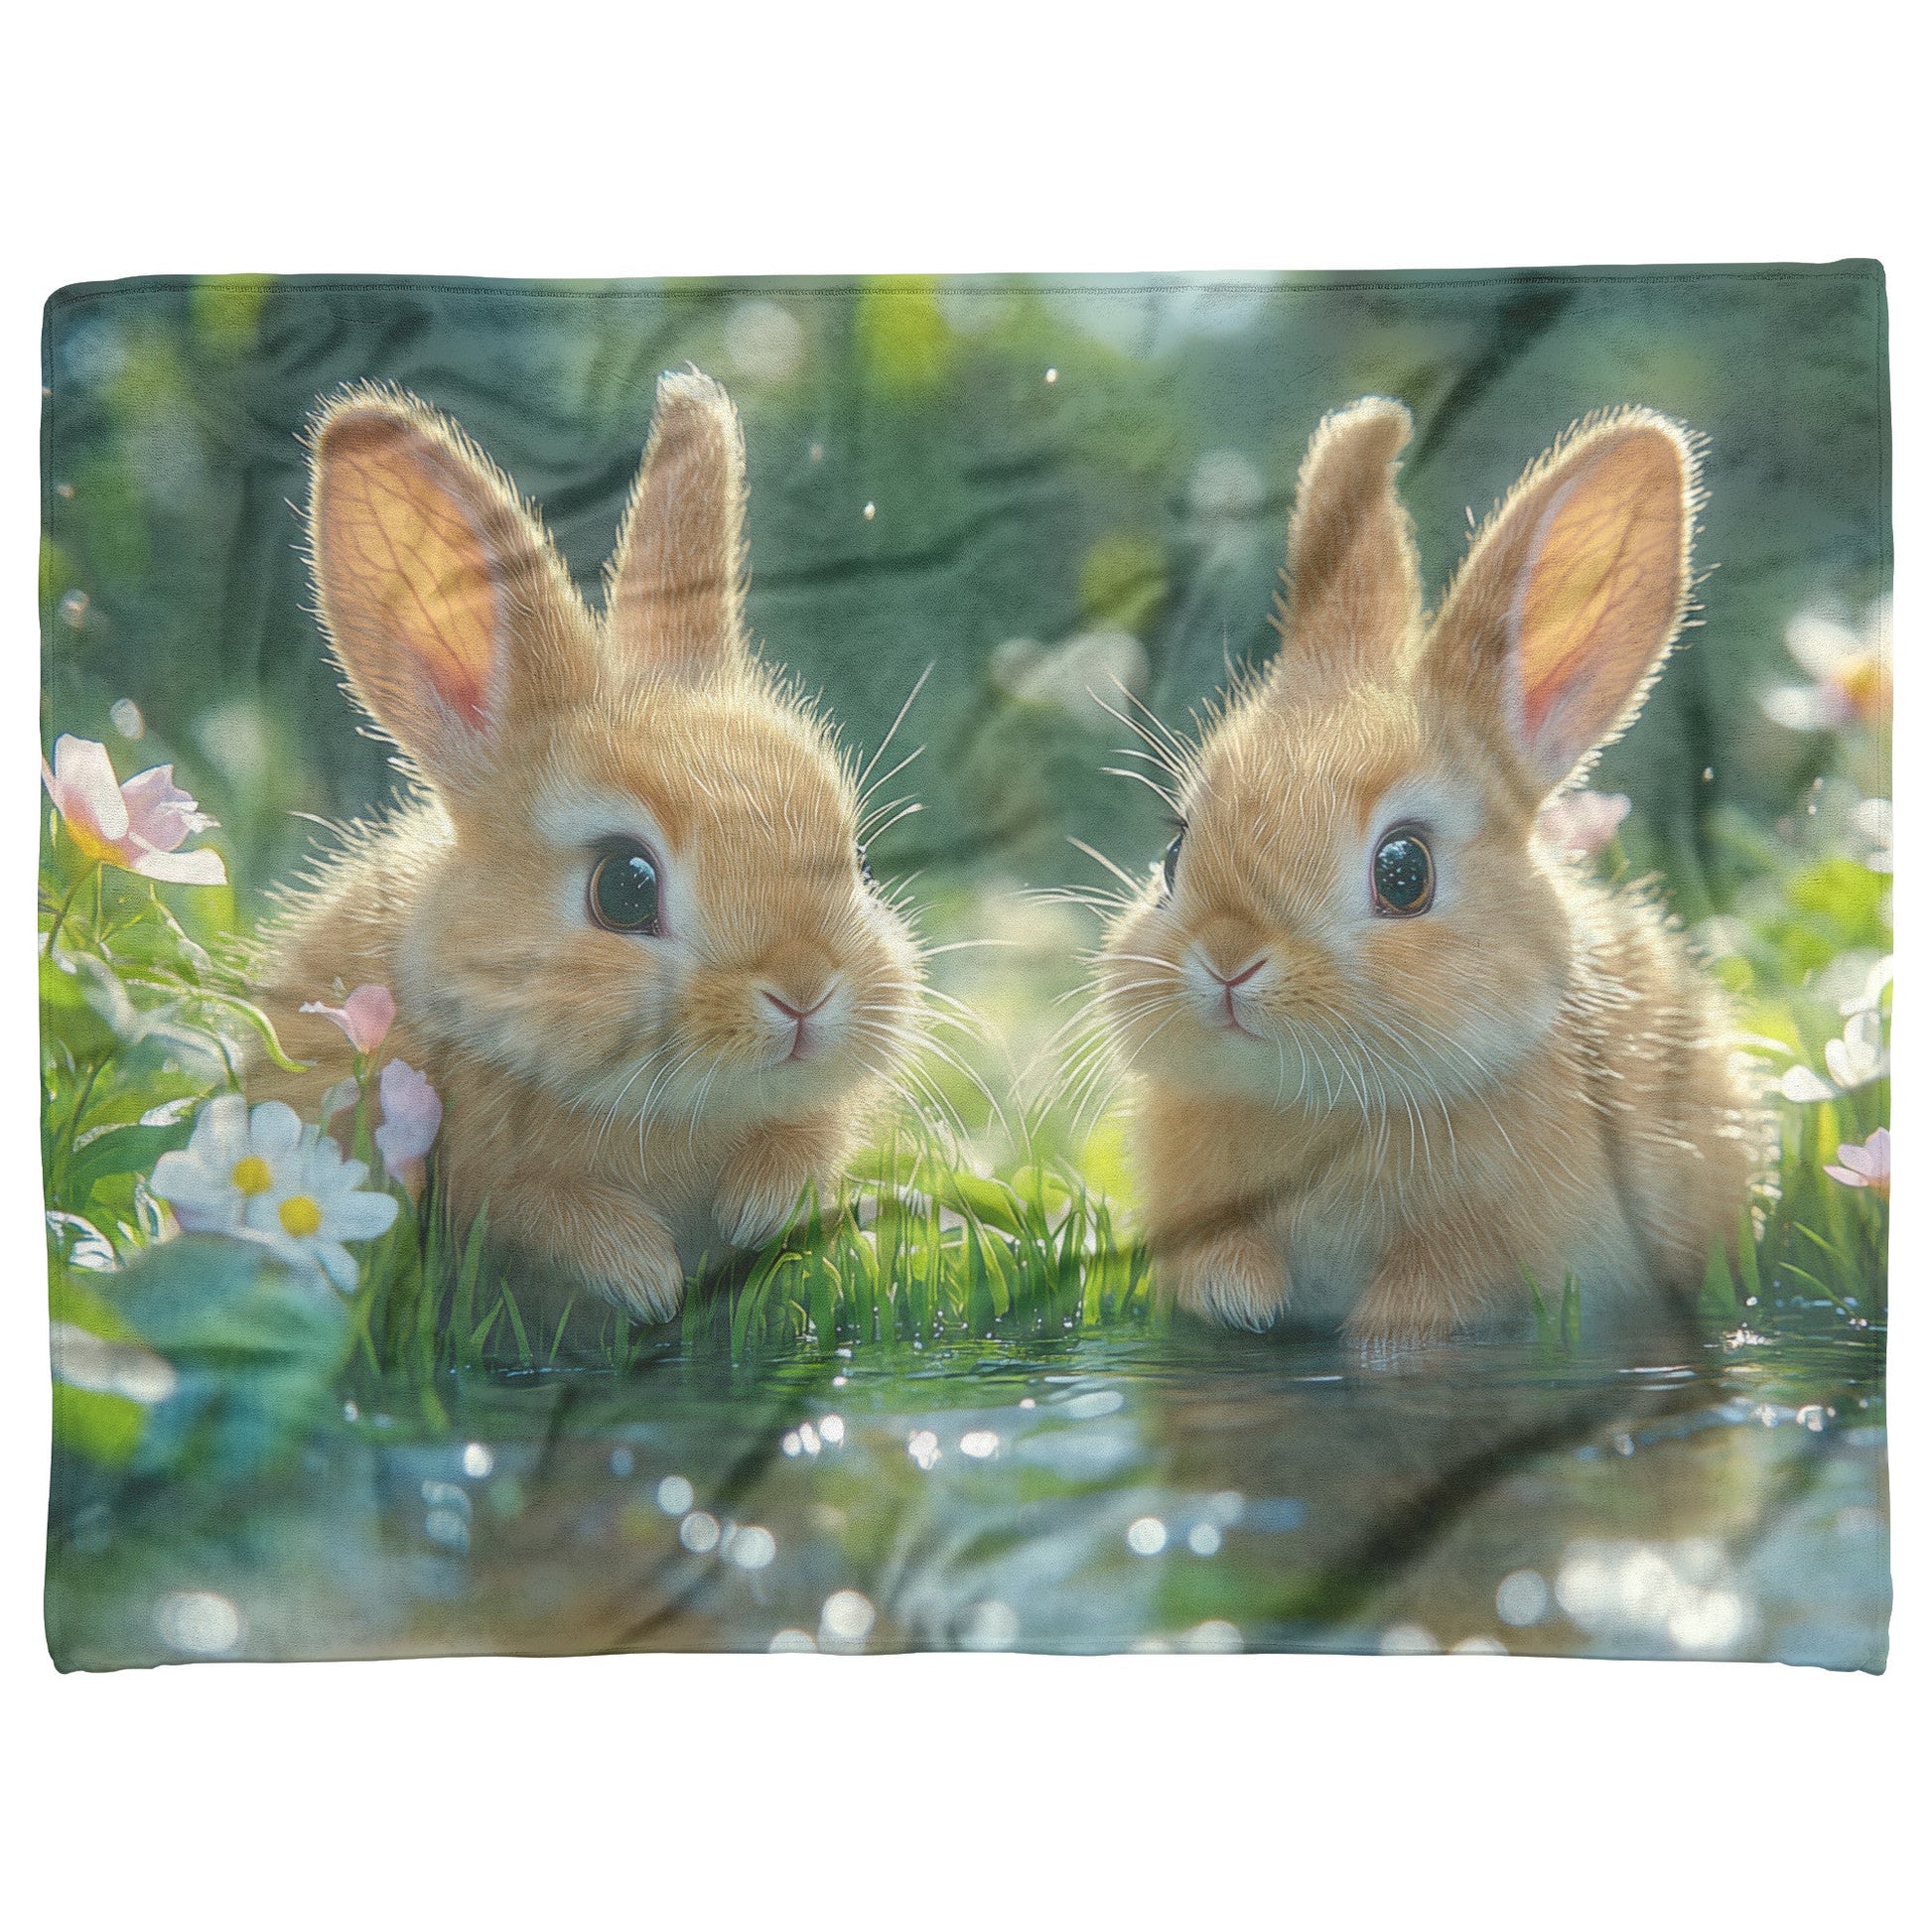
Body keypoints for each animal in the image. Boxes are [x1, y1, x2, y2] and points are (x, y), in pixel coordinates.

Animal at [251, 371, 925, 1321]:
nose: (804, 992)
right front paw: (646, 1276)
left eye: (858, 863)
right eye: (625, 887)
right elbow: (548, 1209)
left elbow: (801, 1142)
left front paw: (756, 1210)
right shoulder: (491, 1178)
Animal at [1094, 396, 1762, 1350]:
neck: (1324, 1113)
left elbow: (1429, 1297)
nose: (1227, 959)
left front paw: (1374, 1340)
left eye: (1403, 872)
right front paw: (1247, 1301)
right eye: (1175, 853)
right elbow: (1223, 1264)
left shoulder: (1487, 1245)